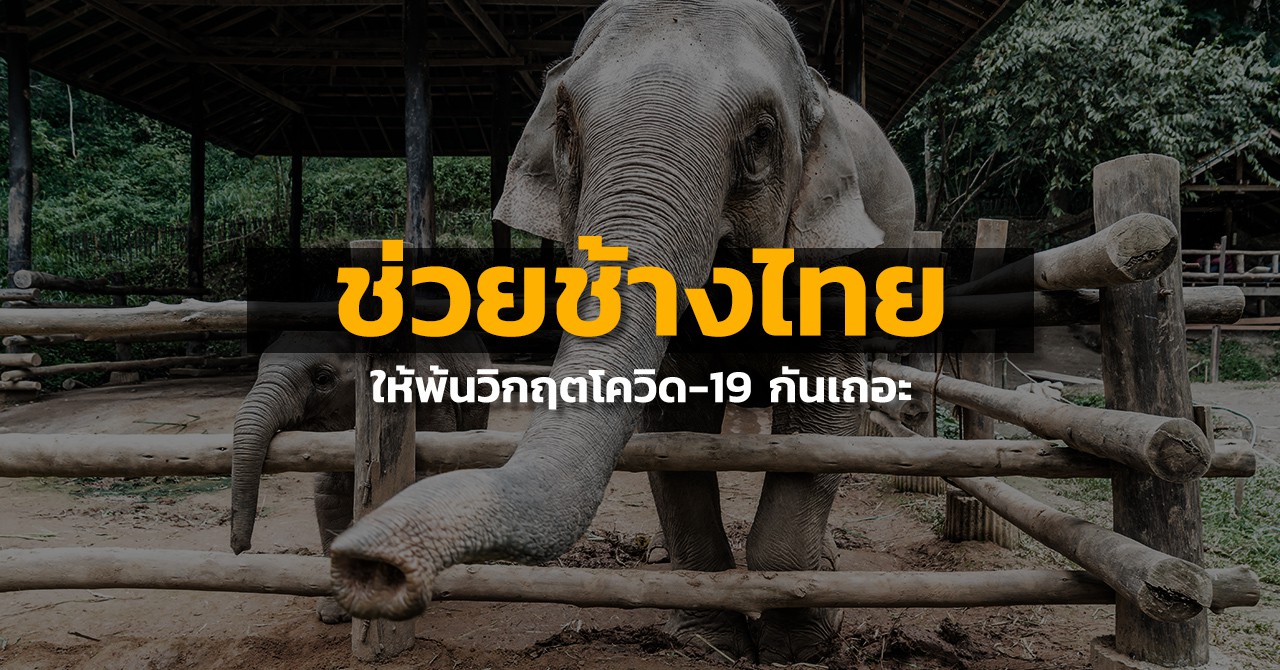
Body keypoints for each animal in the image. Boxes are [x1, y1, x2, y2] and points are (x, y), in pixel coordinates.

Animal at [328, 0, 915, 662]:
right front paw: (707, 639)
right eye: (564, 126)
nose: (368, 567)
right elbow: (673, 423)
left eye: (761, 137)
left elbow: (824, 412)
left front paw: (802, 644)